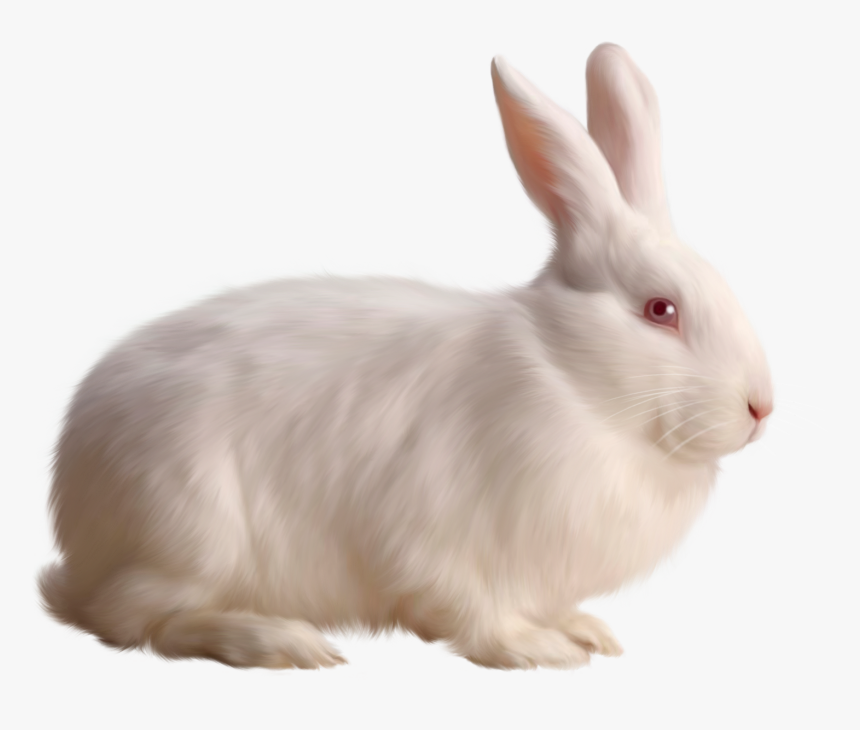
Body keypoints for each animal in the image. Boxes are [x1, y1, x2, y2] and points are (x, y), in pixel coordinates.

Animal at [39, 43, 772, 670]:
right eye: (661, 310)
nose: (761, 407)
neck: (572, 381)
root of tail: (76, 524)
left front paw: (583, 629)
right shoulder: (440, 538)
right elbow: (472, 611)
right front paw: (537, 649)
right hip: (193, 531)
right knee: (137, 620)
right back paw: (279, 640)